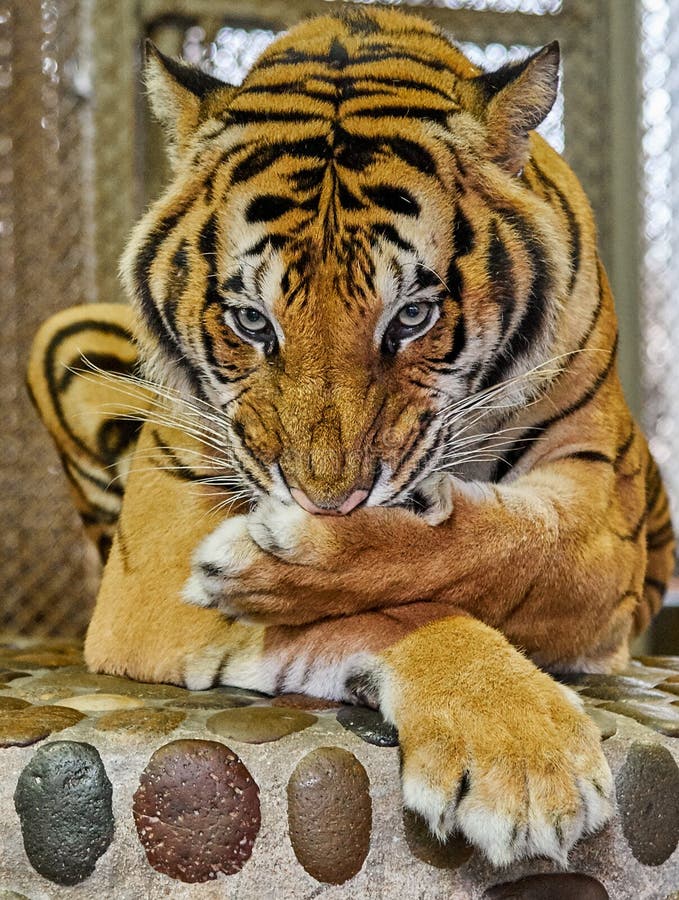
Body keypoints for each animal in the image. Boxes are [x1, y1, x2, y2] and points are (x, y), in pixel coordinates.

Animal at [28, 7, 675, 868]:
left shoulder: (602, 505)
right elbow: (398, 613)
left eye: (412, 317)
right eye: (250, 322)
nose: (326, 502)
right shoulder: (154, 565)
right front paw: (520, 749)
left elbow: (519, 547)